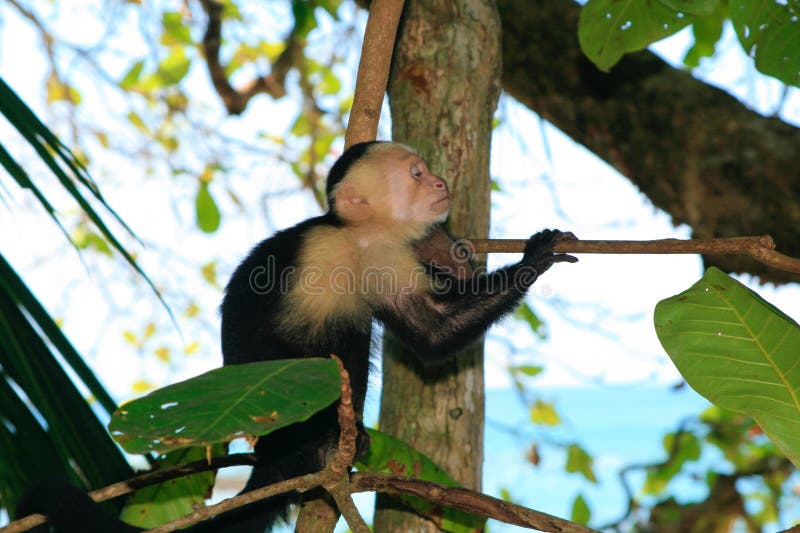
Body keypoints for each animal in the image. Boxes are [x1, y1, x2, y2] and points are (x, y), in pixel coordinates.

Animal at [16, 140, 576, 532]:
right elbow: (284, 351)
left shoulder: (390, 259)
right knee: (333, 336)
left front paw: (527, 259)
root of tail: (267, 456)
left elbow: (431, 331)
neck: (358, 239)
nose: (439, 182)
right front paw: (536, 256)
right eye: (416, 174)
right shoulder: (321, 255)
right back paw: (322, 444)